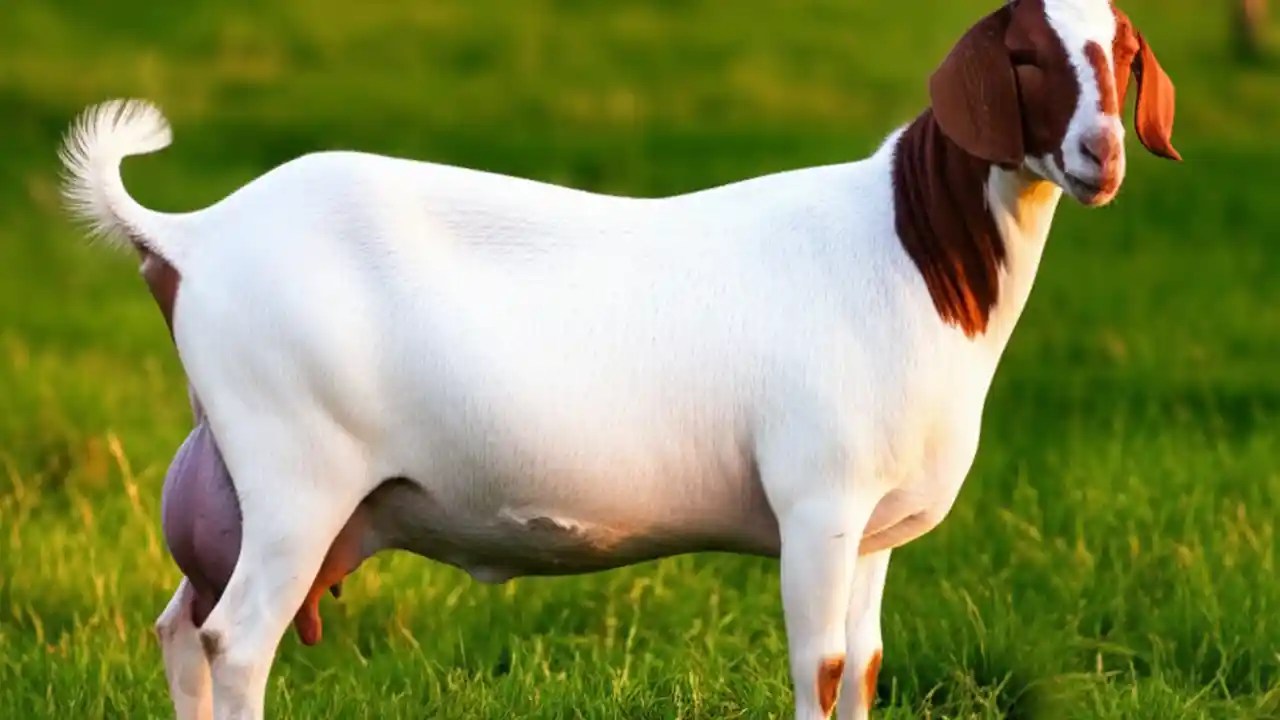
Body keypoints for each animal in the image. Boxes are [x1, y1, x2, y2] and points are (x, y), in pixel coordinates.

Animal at [60, 1, 1179, 718]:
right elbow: (816, 671)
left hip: (236, 479)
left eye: (1124, 53)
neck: (907, 249)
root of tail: (192, 237)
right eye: (1025, 58)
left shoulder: (873, 530)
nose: (1103, 156)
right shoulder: (817, 502)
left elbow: (860, 670)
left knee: (182, 630)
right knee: (237, 641)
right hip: (297, 473)